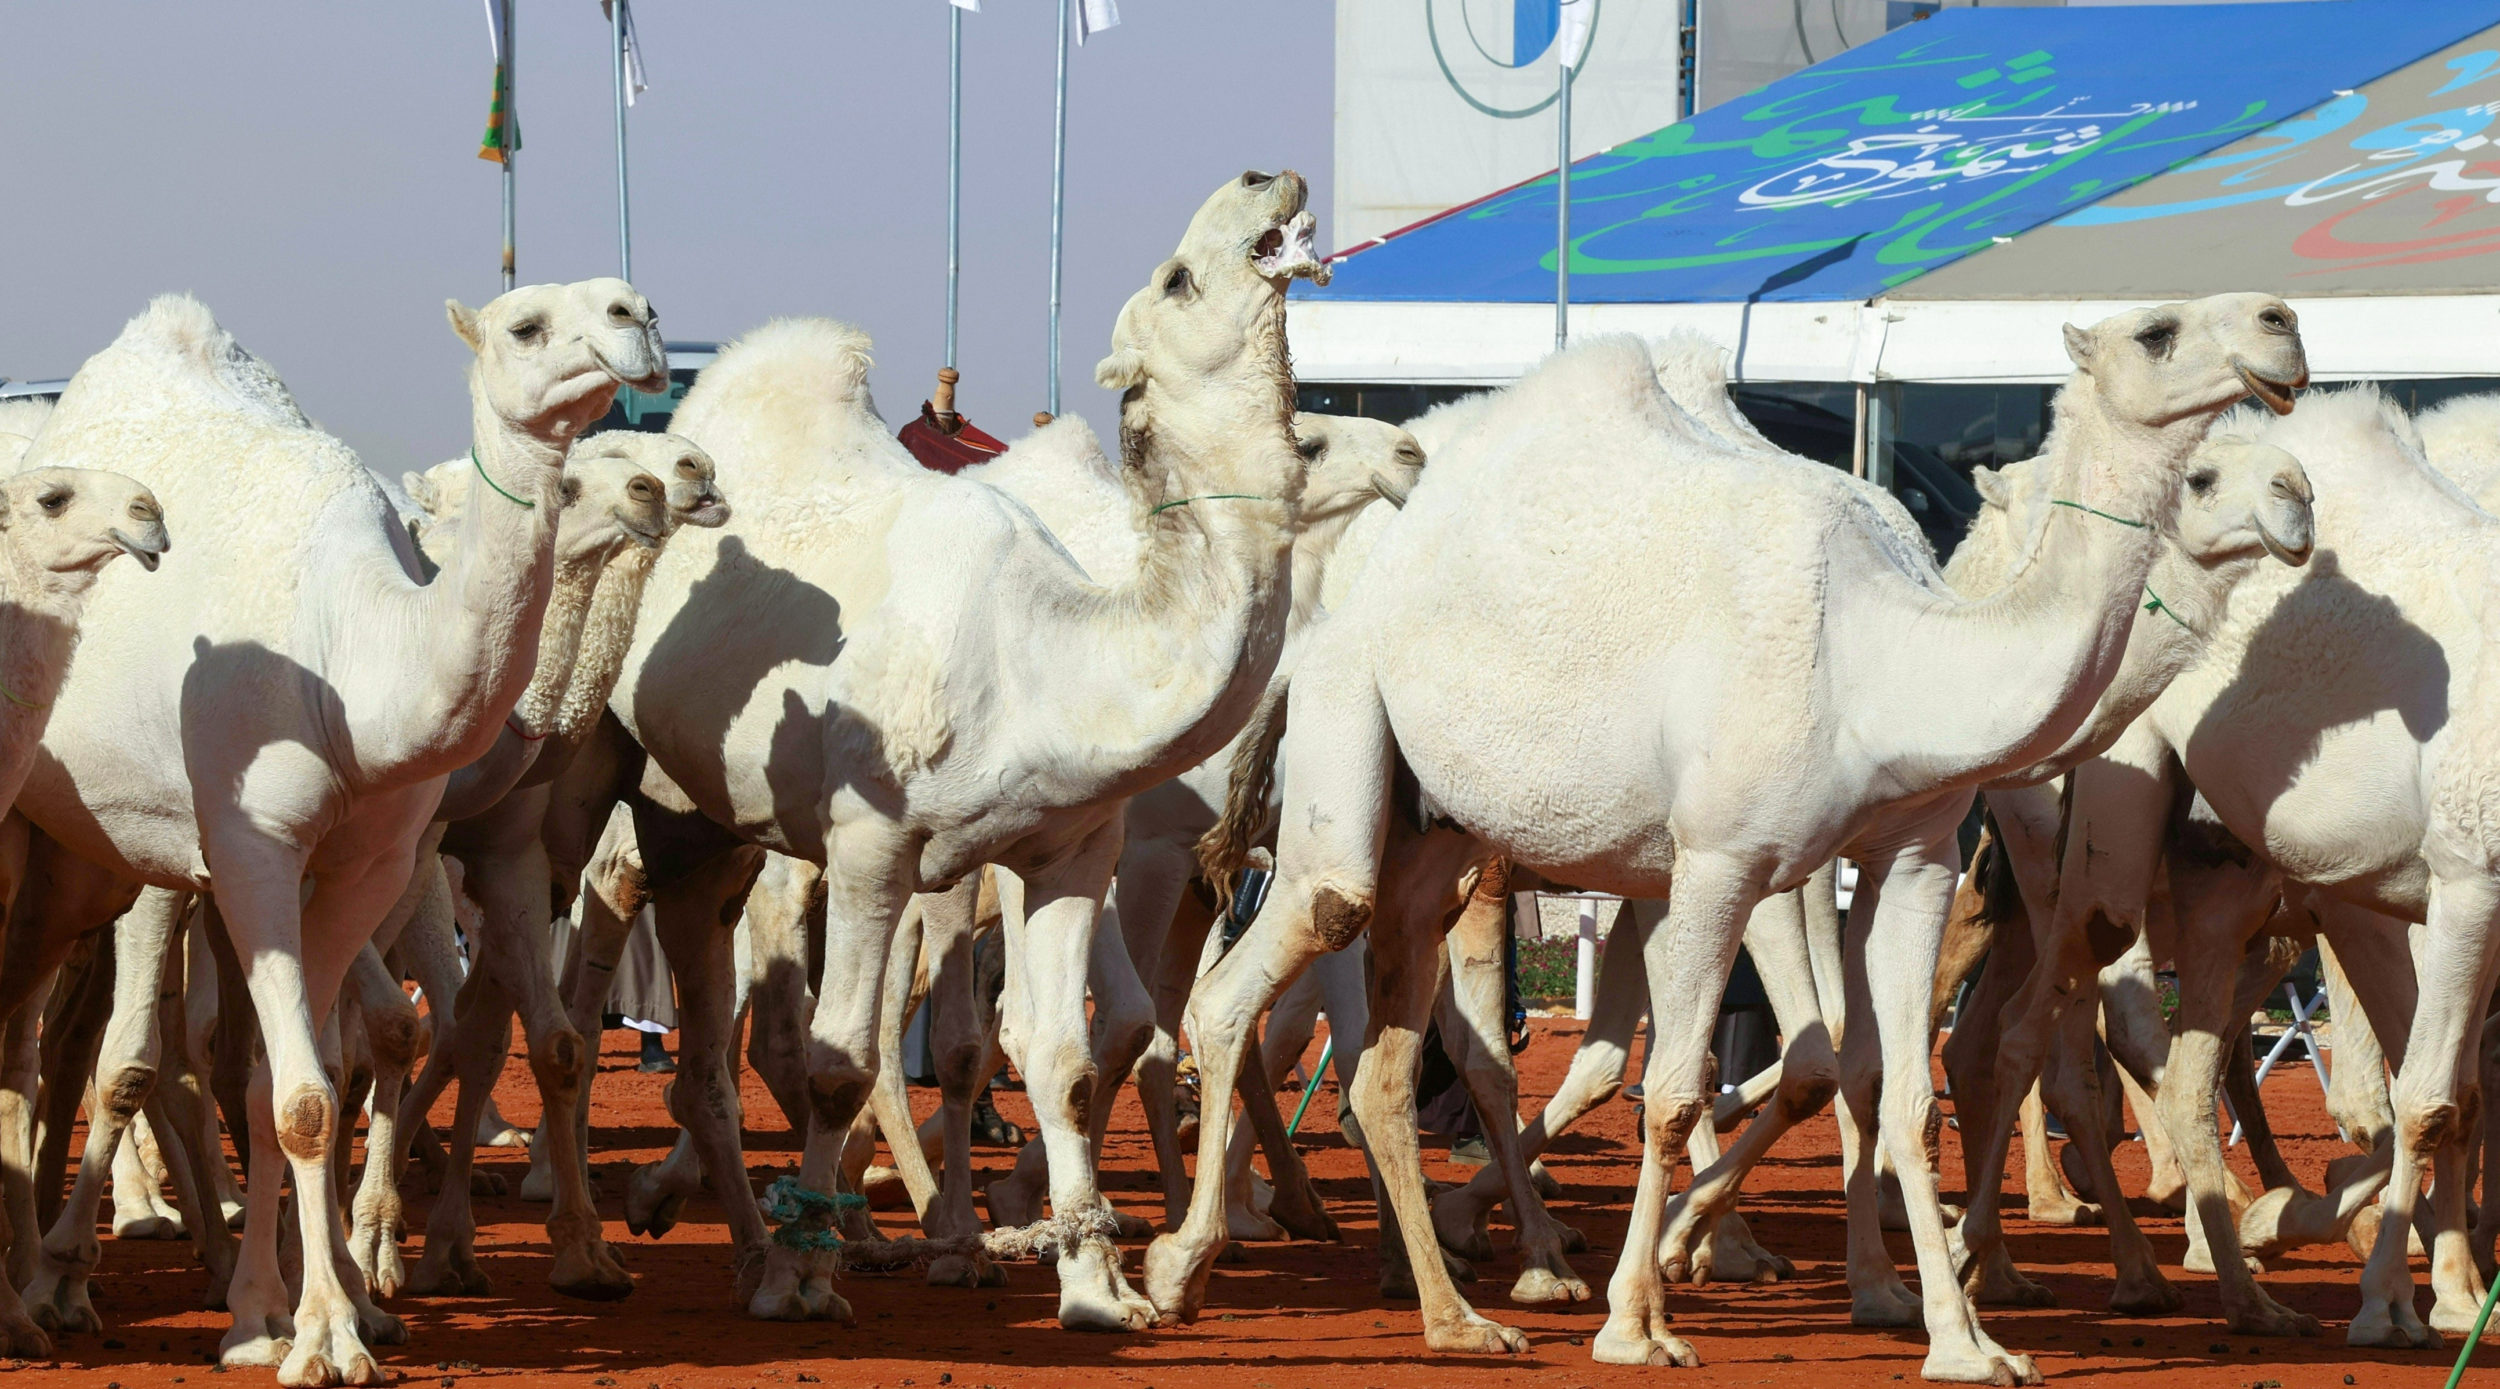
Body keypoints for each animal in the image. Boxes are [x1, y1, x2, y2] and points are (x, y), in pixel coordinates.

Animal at [8, 281, 662, 1385]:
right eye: (525, 324)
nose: (636, 316)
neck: (354, 663)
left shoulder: (370, 863)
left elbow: (294, 1082)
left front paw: (289, 1315)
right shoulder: (252, 849)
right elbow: (295, 1094)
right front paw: (324, 1336)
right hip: (76, 847)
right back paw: (51, 1285)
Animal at [573, 170, 1328, 1331]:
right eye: (1177, 278)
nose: (1263, 176)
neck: (1049, 661)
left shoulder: (1071, 850)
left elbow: (1062, 1058)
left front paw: (1098, 1287)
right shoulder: (870, 845)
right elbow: (842, 1063)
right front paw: (817, 1279)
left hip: (715, 830)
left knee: (705, 1039)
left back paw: (739, 1243)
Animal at [1153, 295, 2305, 1381]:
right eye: (2157, 332)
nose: (2283, 326)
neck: (1888, 658)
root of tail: (1323, 623)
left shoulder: (1913, 856)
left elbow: (1897, 1093)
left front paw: (1958, 1340)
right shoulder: (1721, 862)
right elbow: (1674, 1090)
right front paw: (1640, 1322)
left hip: (1437, 835)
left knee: (1380, 1060)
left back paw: (1453, 1314)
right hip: (1353, 729)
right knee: (1276, 956)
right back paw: (1189, 1262)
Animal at [1946, 384, 2500, 1349]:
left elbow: (2454, 1093)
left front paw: (2433, 1278)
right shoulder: (2459, 881)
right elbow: (2425, 1096)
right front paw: (2391, 1299)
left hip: (2221, 877)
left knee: (2173, 1060)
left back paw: (2235, 1281)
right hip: (2097, 825)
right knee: (2046, 1023)